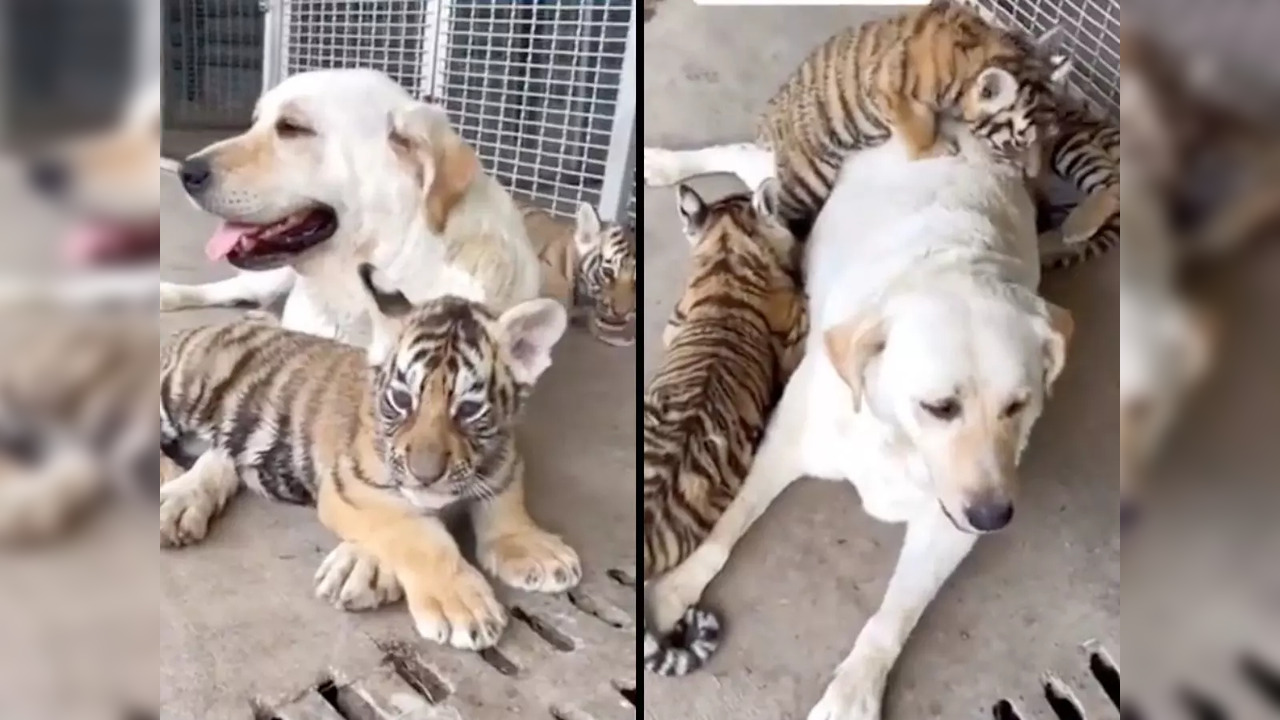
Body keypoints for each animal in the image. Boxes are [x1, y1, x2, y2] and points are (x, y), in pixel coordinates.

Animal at [158, 265, 581, 650]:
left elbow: (507, 507)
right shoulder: (352, 489)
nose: (425, 475)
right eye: (401, 399)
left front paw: (535, 550)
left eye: (469, 409)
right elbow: (418, 534)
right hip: (178, 390)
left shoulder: (505, 463)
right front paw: (462, 606)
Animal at [756, 0, 1068, 238]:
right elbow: (918, 126)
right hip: (808, 177)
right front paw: (935, 148)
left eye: (1049, 141)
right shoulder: (890, 88)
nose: (1031, 174)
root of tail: (766, 120)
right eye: (1017, 144)